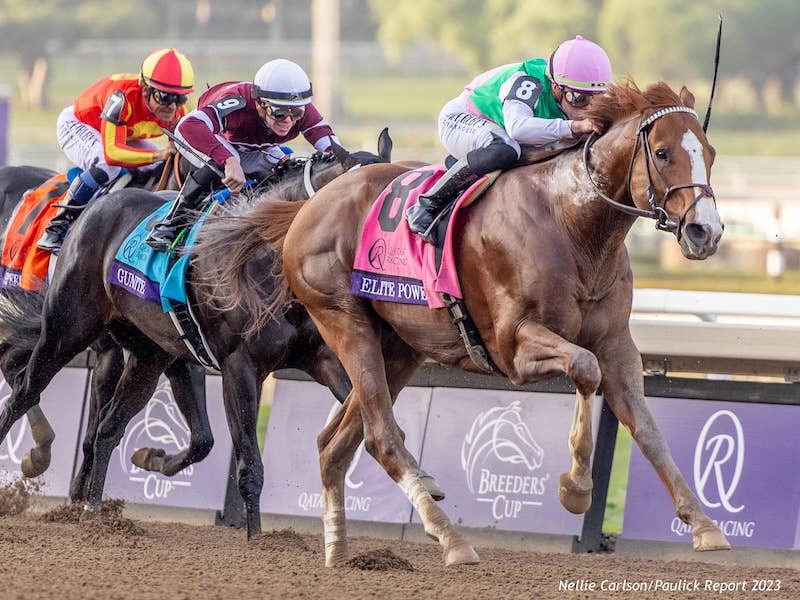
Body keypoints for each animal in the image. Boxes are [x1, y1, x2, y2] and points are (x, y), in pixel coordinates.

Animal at [0, 130, 442, 540]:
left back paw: (94, 510)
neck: (266, 259)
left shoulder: (320, 358)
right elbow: (248, 461)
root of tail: (93, 210)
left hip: (147, 355)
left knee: (108, 427)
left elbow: (369, 408)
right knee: (24, 393)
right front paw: (257, 537)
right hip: (68, 329)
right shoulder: (239, 366)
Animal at [216, 81, 727, 566]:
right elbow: (585, 369)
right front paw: (576, 488)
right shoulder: (515, 345)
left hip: (398, 347)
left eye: (710, 152)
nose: (706, 232)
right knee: (381, 438)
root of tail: (308, 206)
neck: (572, 222)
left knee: (335, 444)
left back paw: (339, 552)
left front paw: (704, 525)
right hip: (345, 322)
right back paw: (451, 539)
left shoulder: (617, 344)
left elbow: (646, 427)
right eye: (662, 152)